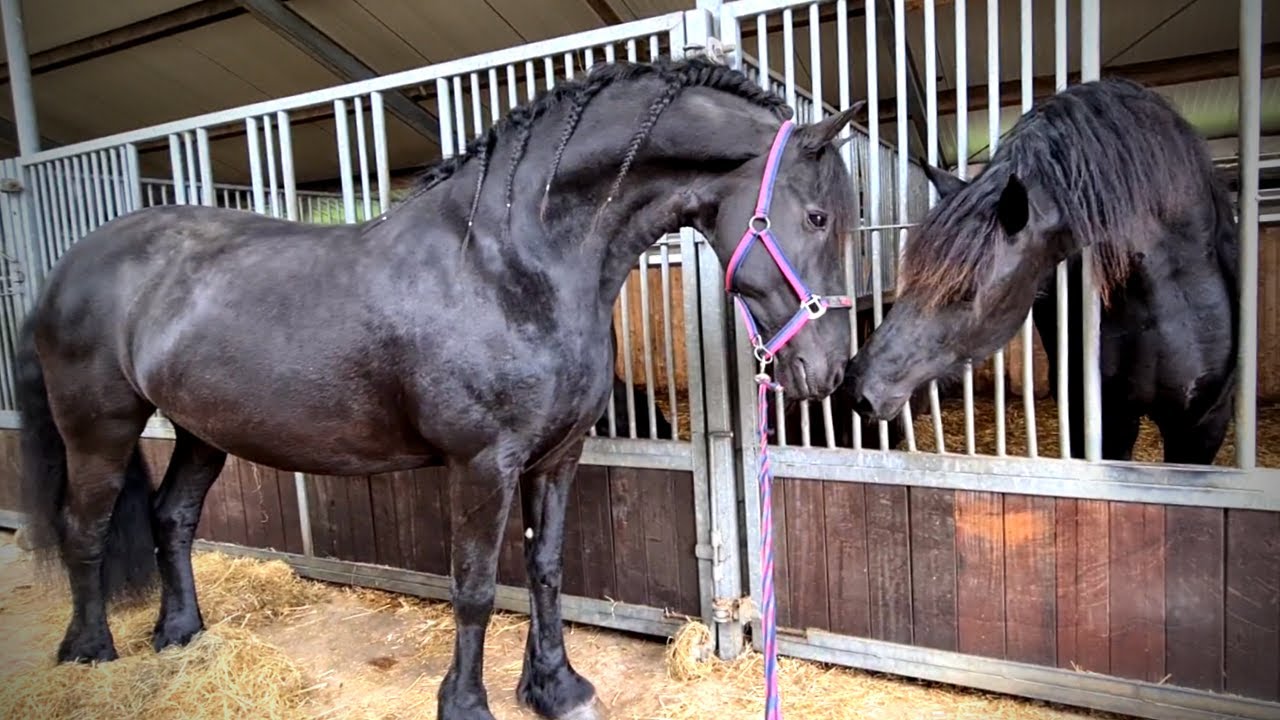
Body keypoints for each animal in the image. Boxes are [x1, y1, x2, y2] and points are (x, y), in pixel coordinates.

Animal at [17, 56, 862, 720]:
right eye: (819, 216)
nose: (828, 373)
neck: (513, 264)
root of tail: (70, 267)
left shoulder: (557, 457)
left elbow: (547, 570)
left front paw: (556, 689)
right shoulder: (483, 464)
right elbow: (477, 586)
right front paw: (466, 705)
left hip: (201, 430)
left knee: (174, 518)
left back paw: (180, 634)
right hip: (99, 427)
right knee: (86, 529)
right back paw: (89, 653)